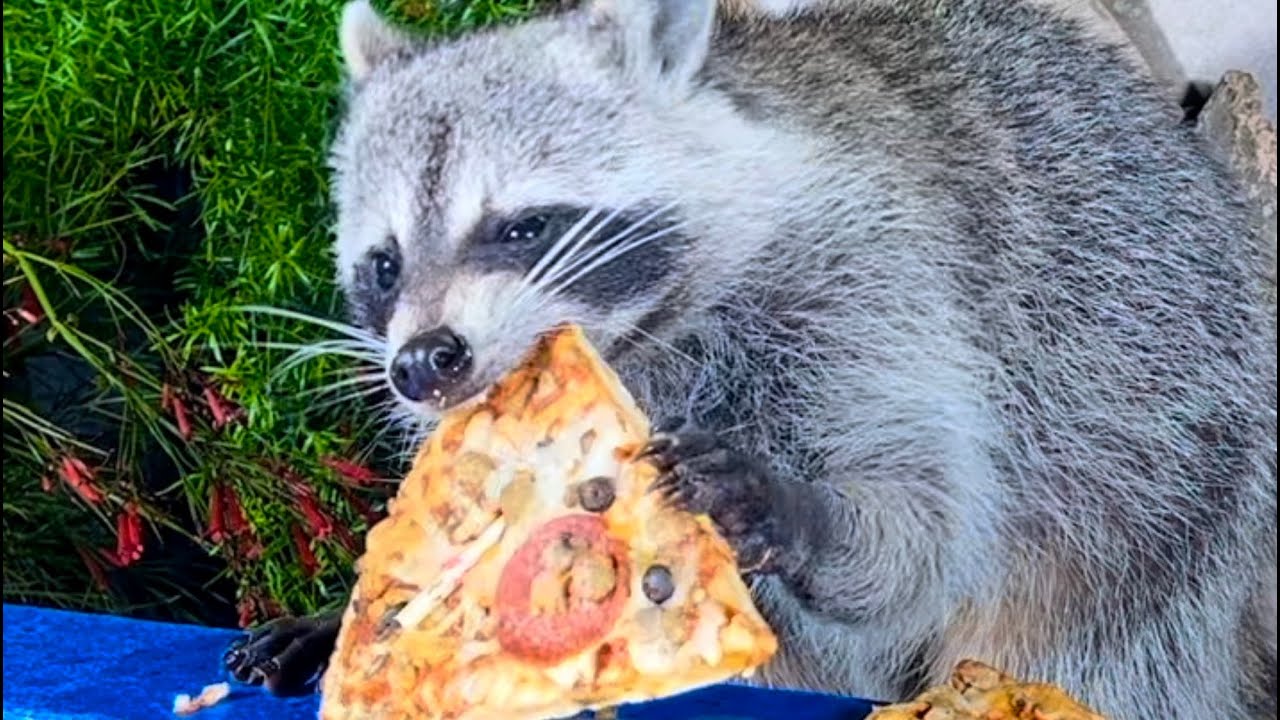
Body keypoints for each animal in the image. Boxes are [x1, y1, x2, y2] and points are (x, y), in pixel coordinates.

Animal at [224, 0, 1278, 716]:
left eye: (522, 226)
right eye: (384, 264)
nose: (424, 363)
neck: (642, 341)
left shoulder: (878, 283)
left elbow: (926, 524)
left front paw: (801, 511)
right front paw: (363, 611)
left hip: (1166, 476)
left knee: (1093, 639)